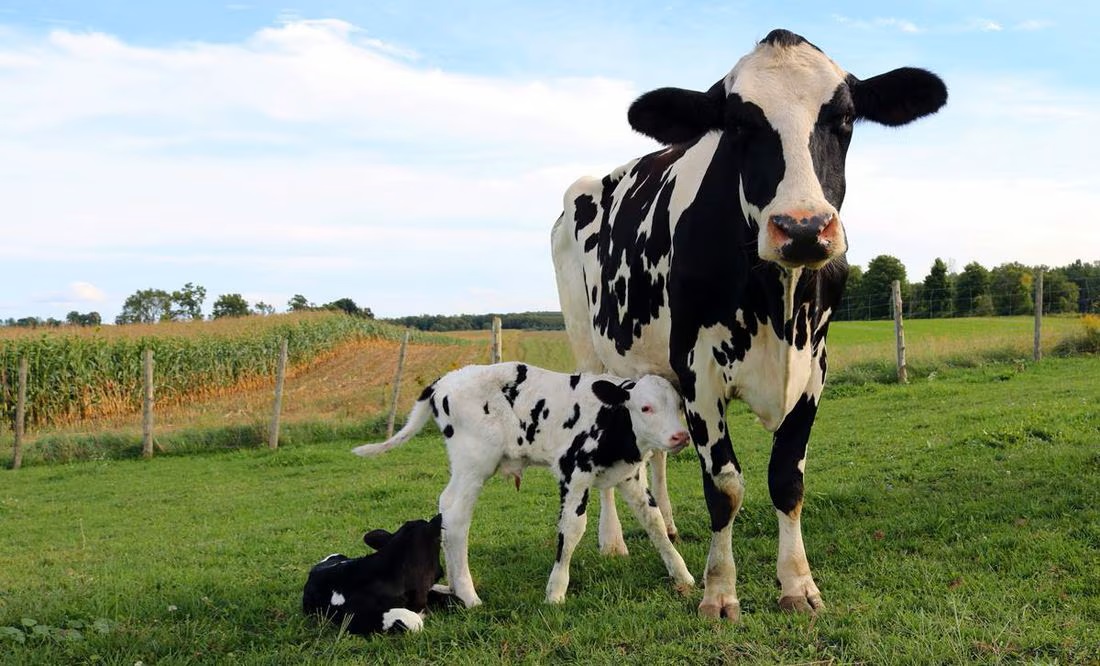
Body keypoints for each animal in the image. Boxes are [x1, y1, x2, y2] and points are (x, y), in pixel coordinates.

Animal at [352, 362, 696, 607]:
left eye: (678, 405)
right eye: (645, 407)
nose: (680, 436)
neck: (612, 421)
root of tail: (446, 380)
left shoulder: (629, 476)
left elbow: (654, 522)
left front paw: (682, 574)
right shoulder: (573, 472)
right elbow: (572, 529)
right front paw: (555, 592)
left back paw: (453, 587)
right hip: (473, 462)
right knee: (455, 514)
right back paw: (468, 594)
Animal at [551, 28, 947, 620]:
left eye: (845, 118)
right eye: (738, 124)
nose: (802, 227)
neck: (776, 304)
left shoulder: (814, 368)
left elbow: (787, 479)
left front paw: (798, 585)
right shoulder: (699, 371)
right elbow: (725, 487)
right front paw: (719, 591)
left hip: (652, 369)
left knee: (658, 453)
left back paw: (667, 522)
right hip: (589, 348)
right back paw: (612, 540)